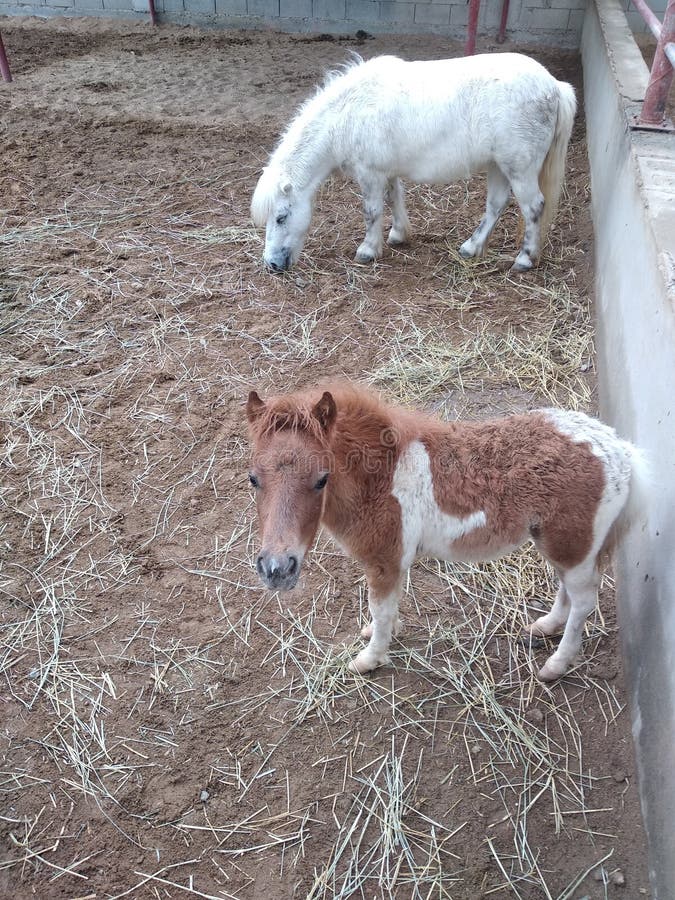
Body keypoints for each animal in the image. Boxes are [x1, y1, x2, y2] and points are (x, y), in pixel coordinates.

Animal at [245, 383, 647, 682]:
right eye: (253, 479)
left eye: (321, 479)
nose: (276, 569)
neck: (382, 477)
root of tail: (619, 449)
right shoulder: (393, 564)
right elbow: (388, 608)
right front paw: (380, 634)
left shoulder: (384, 561)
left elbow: (380, 608)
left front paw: (369, 659)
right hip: (562, 545)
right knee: (568, 590)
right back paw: (544, 627)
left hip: (573, 546)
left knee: (584, 601)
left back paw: (555, 665)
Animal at [250, 53, 576, 274]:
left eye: (281, 217)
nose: (272, 264)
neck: (347, 115)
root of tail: (554, 86)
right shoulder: (387, 173)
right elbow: (394, 199)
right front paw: (398, 235)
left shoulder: (370, 174)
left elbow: (371, 212)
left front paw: (368, 251)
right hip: (499, 167)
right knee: (495, 206)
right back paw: (471, 247)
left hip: (519, 170)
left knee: (533, 207)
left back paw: (525, 258)